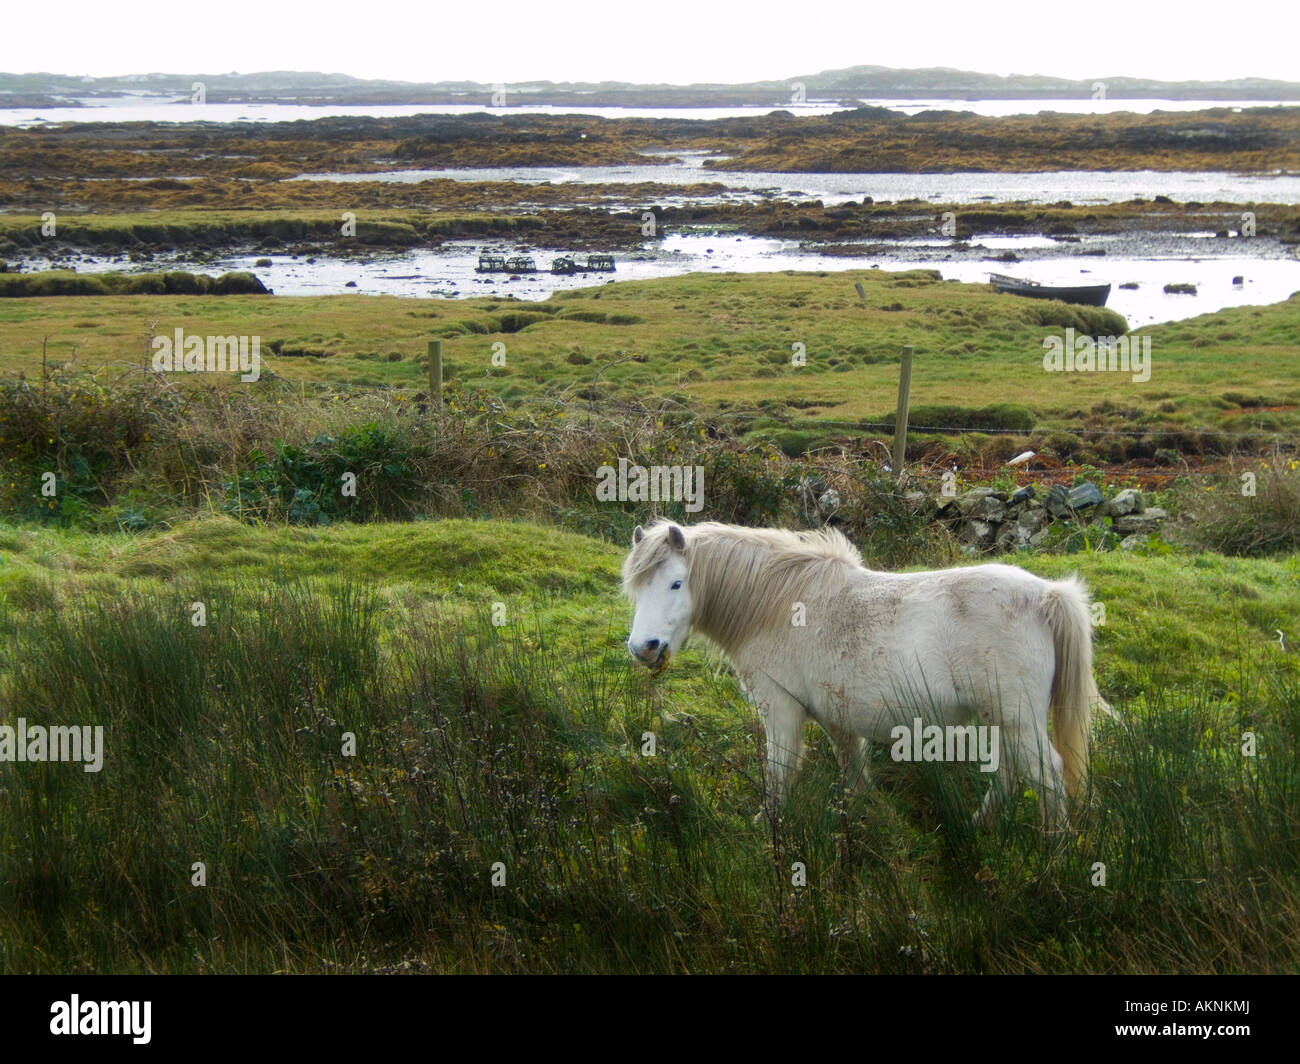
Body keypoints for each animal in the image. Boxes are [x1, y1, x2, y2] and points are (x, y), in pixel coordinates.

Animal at [622, 520, 1109, 831]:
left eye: (676, 583)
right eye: (637, 587)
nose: (644, 648)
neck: (778, 606)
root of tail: (1046, 595)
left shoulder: (781, 709)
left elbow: (780, 770)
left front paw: (768, 823)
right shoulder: (832, 714)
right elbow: (850, 764)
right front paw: (856, 811)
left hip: (1017, 721)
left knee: (1047, 778)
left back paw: (1053, 853)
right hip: (1005, 721)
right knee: (1010, 774)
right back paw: (979, 824)